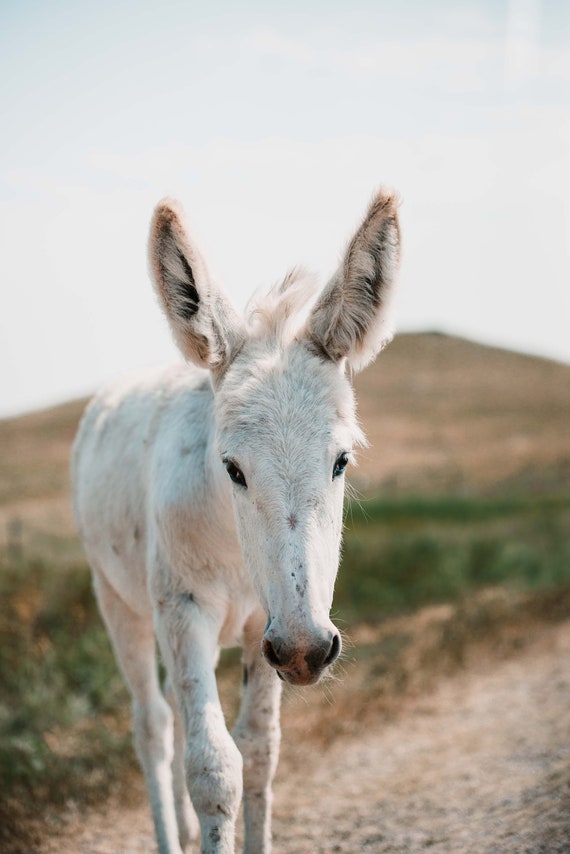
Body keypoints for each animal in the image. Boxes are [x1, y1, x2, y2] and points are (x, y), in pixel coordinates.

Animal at [71, 188, 401, 853]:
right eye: (232, 468)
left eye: (341, 461)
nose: (306, 650)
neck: (230, 542)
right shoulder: (185, 610)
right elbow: (213, 767)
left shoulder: (262, 628)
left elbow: (259, 752)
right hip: (120, 604)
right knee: (153, 725)